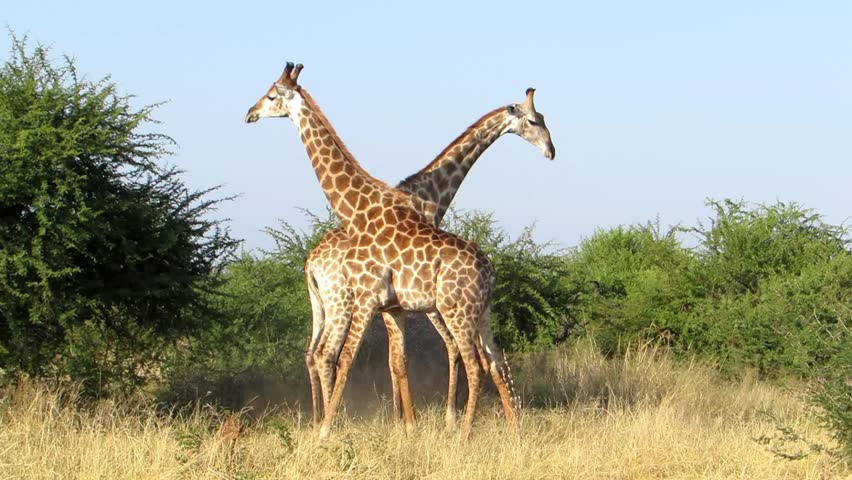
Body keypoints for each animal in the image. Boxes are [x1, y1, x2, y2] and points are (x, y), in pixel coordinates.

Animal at [245, 63, 549, 439]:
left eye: (271, 94)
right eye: (535, 121)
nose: (250, 113)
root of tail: (310, 262)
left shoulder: (374, 301)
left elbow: (362, 359)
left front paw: (352, 429)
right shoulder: (391, 306)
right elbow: (395, 360)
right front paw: (405, 424)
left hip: (423, 308)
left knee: (475, 362)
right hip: (457, 311)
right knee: (492, 360)